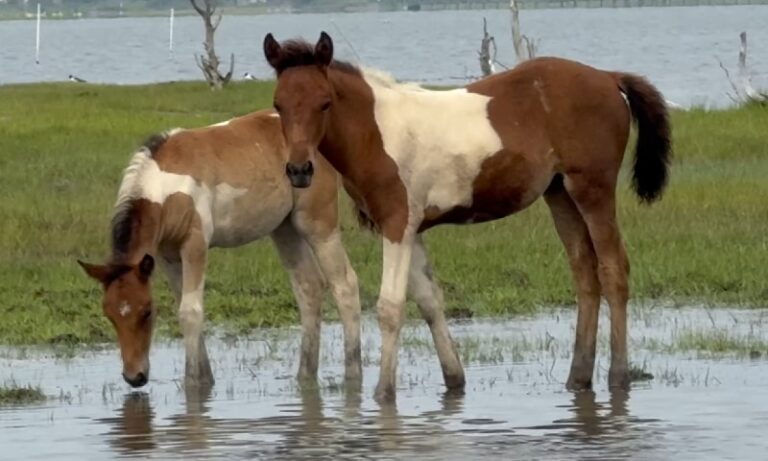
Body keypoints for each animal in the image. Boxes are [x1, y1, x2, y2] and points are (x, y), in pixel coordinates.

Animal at [78, 109, 362, 388]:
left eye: (147, 311)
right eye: (109, 314)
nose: (134, 377)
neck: (166, 186)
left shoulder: (195, 245)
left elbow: (190, 312)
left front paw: (195, 384)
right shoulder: (168, 255)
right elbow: (184, 308)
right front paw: (205, 378)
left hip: (317, 223)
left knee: (344, 285)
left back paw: (352, 375)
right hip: (284, 228)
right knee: (309, 288)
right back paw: (305, 376)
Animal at [262, 32, 671, 401]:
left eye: (325, 103)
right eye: (278, 104)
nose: (299, 170)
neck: (375, 132)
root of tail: (608, 77)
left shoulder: (397, 224)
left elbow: (390, 307)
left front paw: (383, 393)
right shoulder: (410, 229)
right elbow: (429, 300)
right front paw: (454, 379)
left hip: (592, 190)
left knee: (613, 269)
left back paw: (617, 376)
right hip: (559, 195)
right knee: (585, 273)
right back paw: (578, 378)